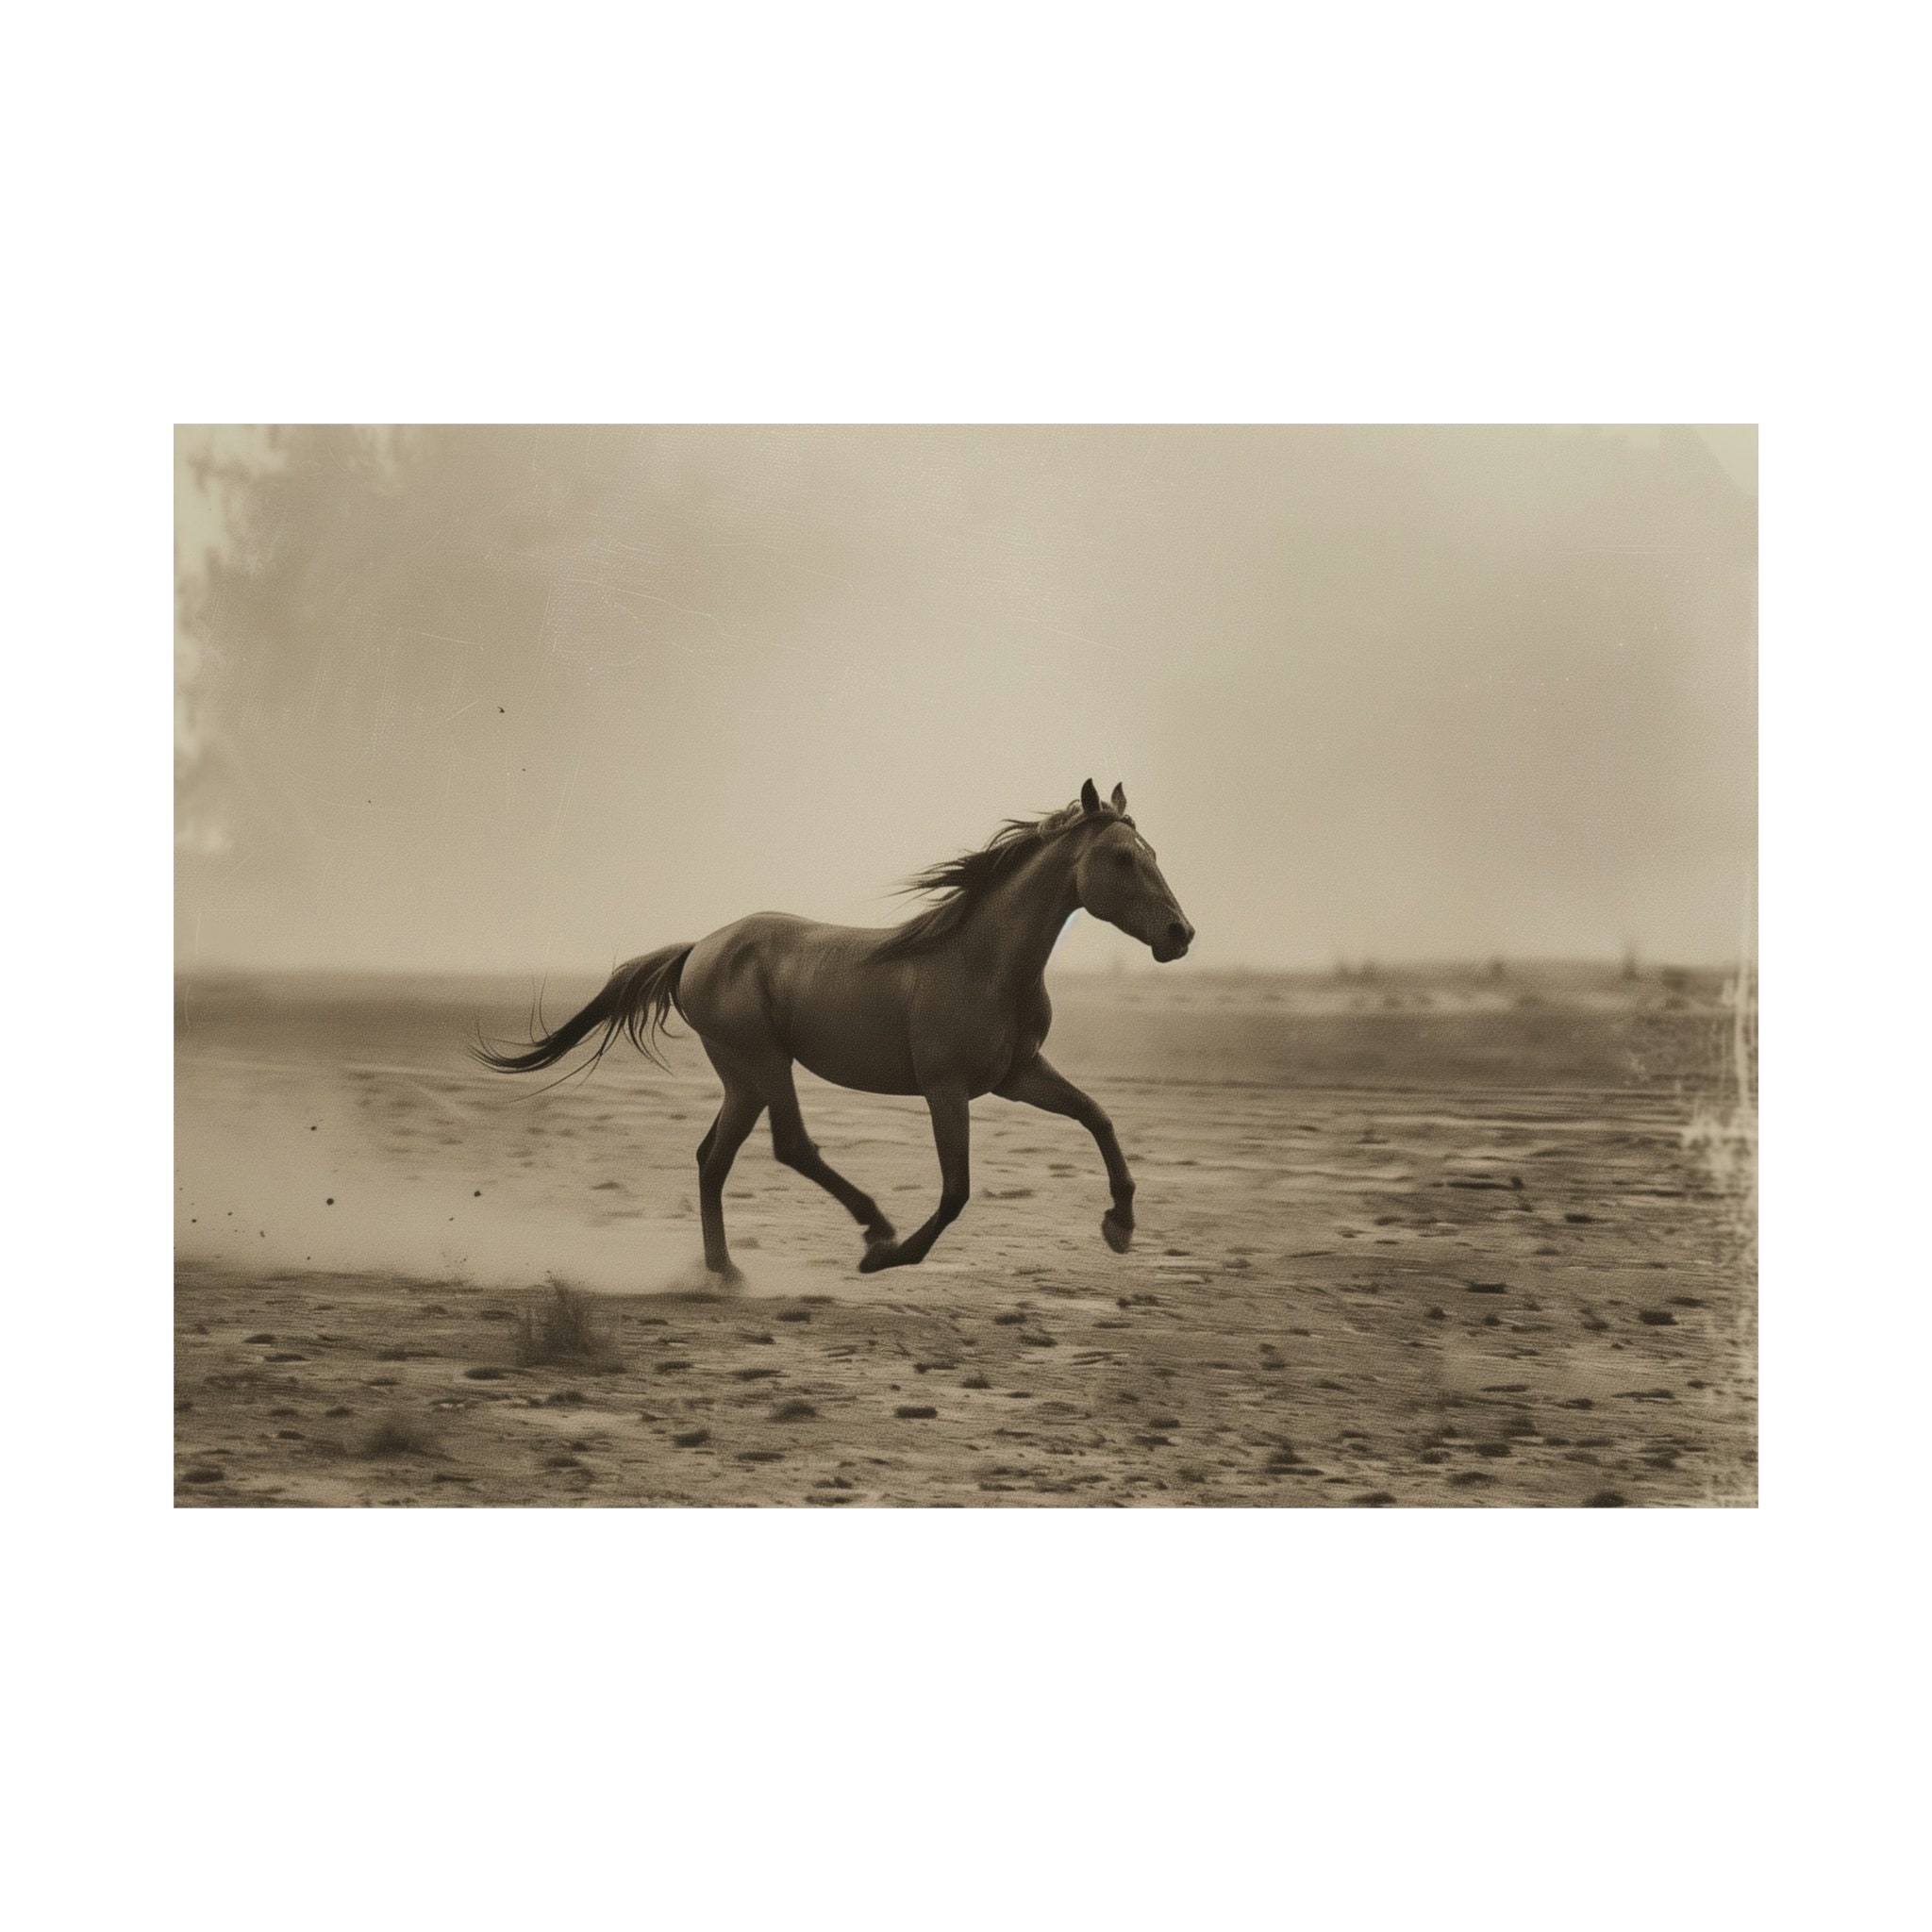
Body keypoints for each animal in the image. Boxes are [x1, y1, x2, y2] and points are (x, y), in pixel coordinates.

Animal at [473, 779, 1194, 1282]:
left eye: (1153, 853)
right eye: (1123, 859)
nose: (1180, 934)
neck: (982, 962)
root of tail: (698, 949)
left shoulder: (1017, 1076)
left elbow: (1097, 1117)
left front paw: (1120, 1225)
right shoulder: (946, 1088)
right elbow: (957, 1191)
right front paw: (889, 1257)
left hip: (743, 1077)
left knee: (714, 1157)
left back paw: (724, 1271)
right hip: (764, 1061)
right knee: (791, 1145)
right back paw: (872, 1229)